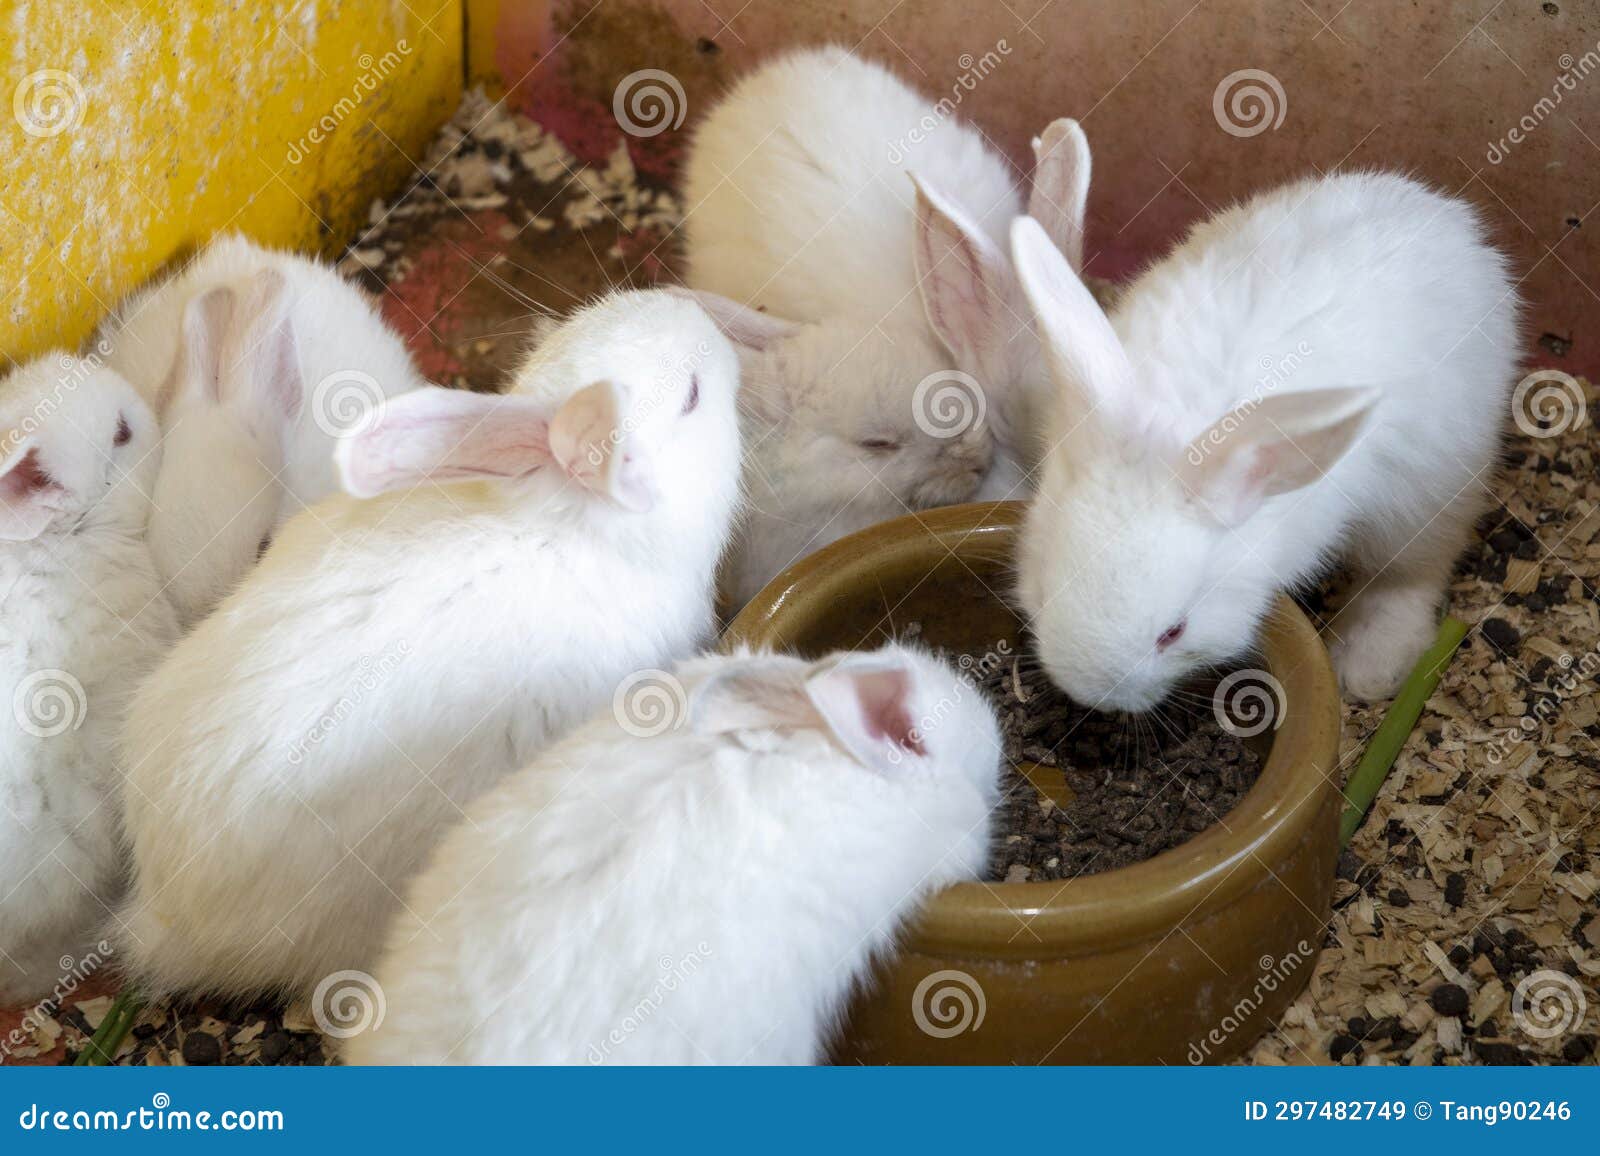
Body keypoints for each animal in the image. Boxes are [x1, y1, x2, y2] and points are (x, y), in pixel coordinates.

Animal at [1009, 170, 1520, 710]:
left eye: (1174, 632)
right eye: (1043, 588)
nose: (1092, 697)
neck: (1180, 428)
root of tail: (1450, 218)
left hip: (1425, 496)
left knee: (1411, 572)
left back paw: (1369, 667)